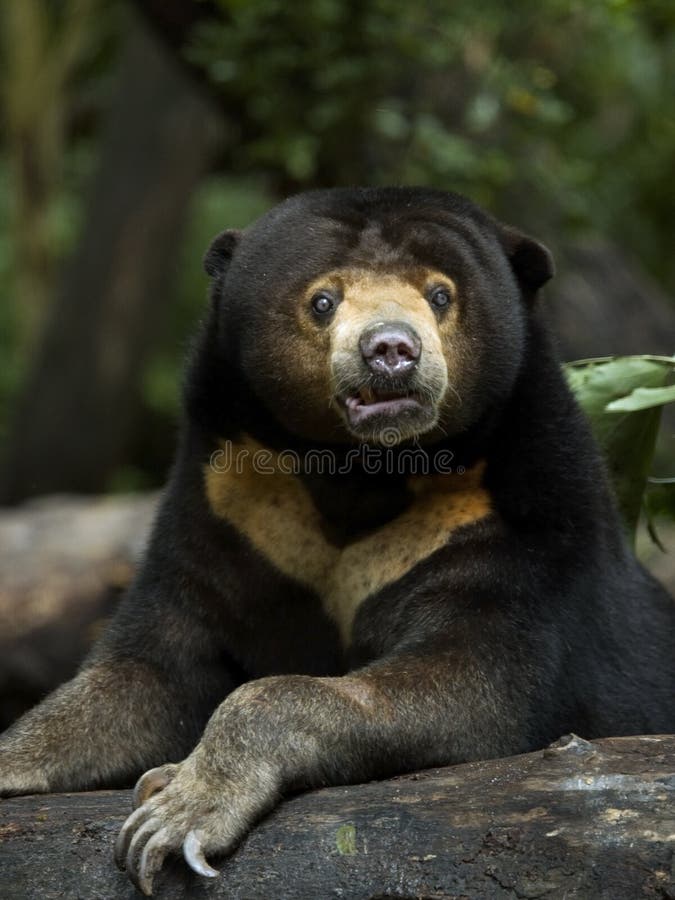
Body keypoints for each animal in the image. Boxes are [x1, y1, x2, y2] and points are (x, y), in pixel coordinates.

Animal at [1, 187, 673, 895]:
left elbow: (481, 683)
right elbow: (146, 671)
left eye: (440, 294)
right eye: (323, 300)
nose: (391, 349)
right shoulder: (229, 512)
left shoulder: (520, 531)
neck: (361, 469)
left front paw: (175, 809)